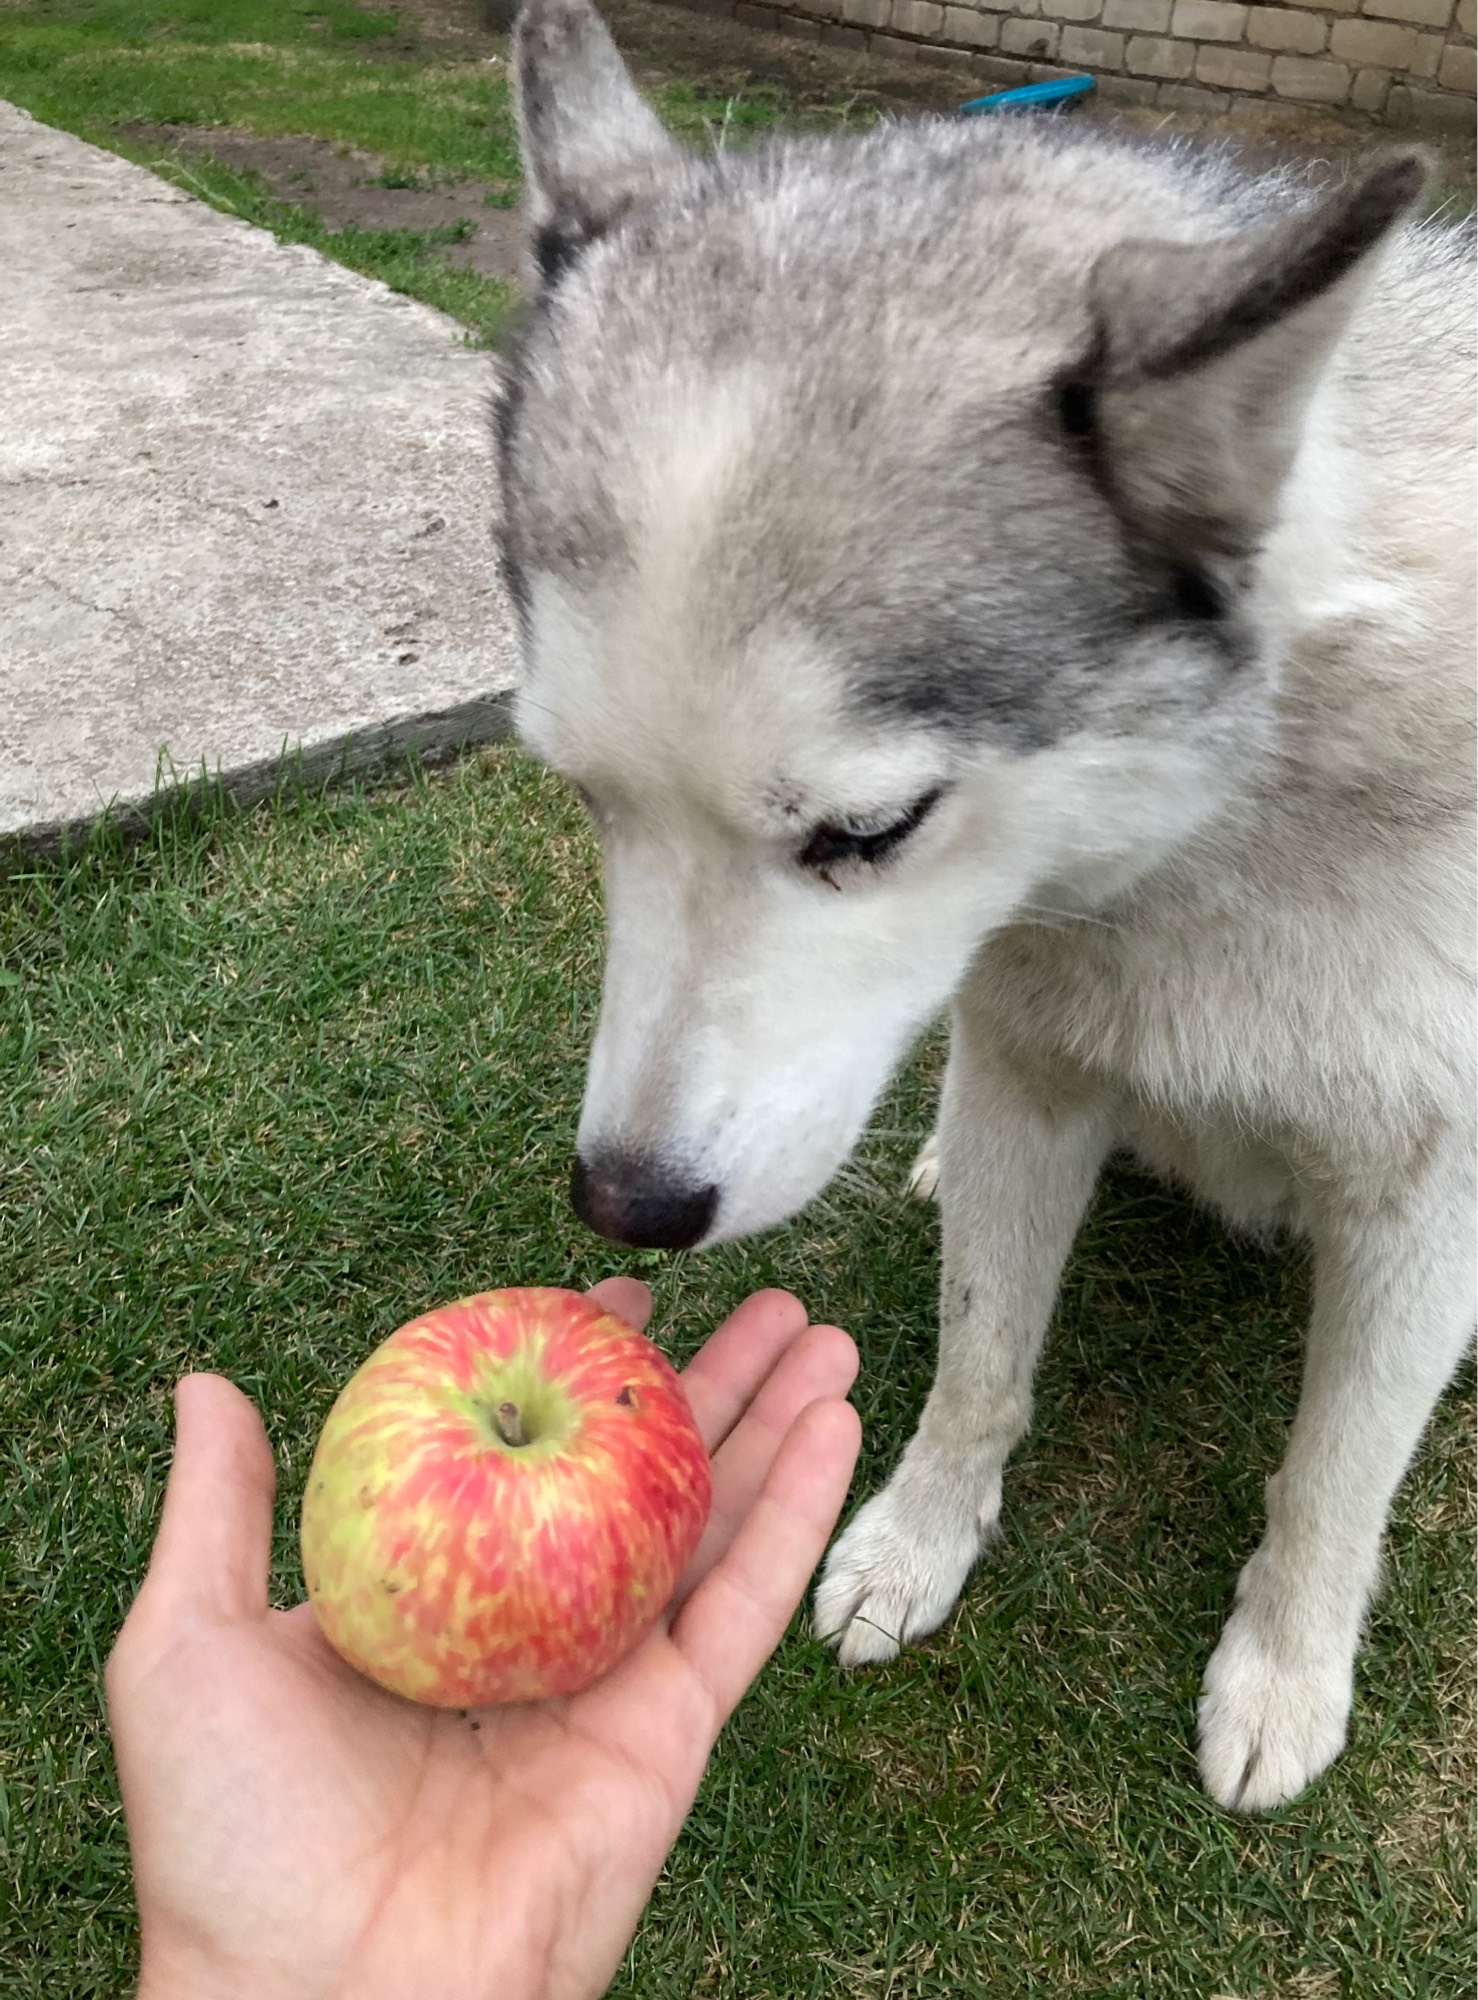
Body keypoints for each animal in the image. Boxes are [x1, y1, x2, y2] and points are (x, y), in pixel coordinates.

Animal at [502, 0, 1472, 1816]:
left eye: (865, 830)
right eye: (585, 798)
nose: (626, 1205)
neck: (1201, 847)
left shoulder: (1424, 1203)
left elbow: (1330, 1477)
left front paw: (1283, 1668)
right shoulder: (1031, 1070)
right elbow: (976, 1354)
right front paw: (917, 1539)